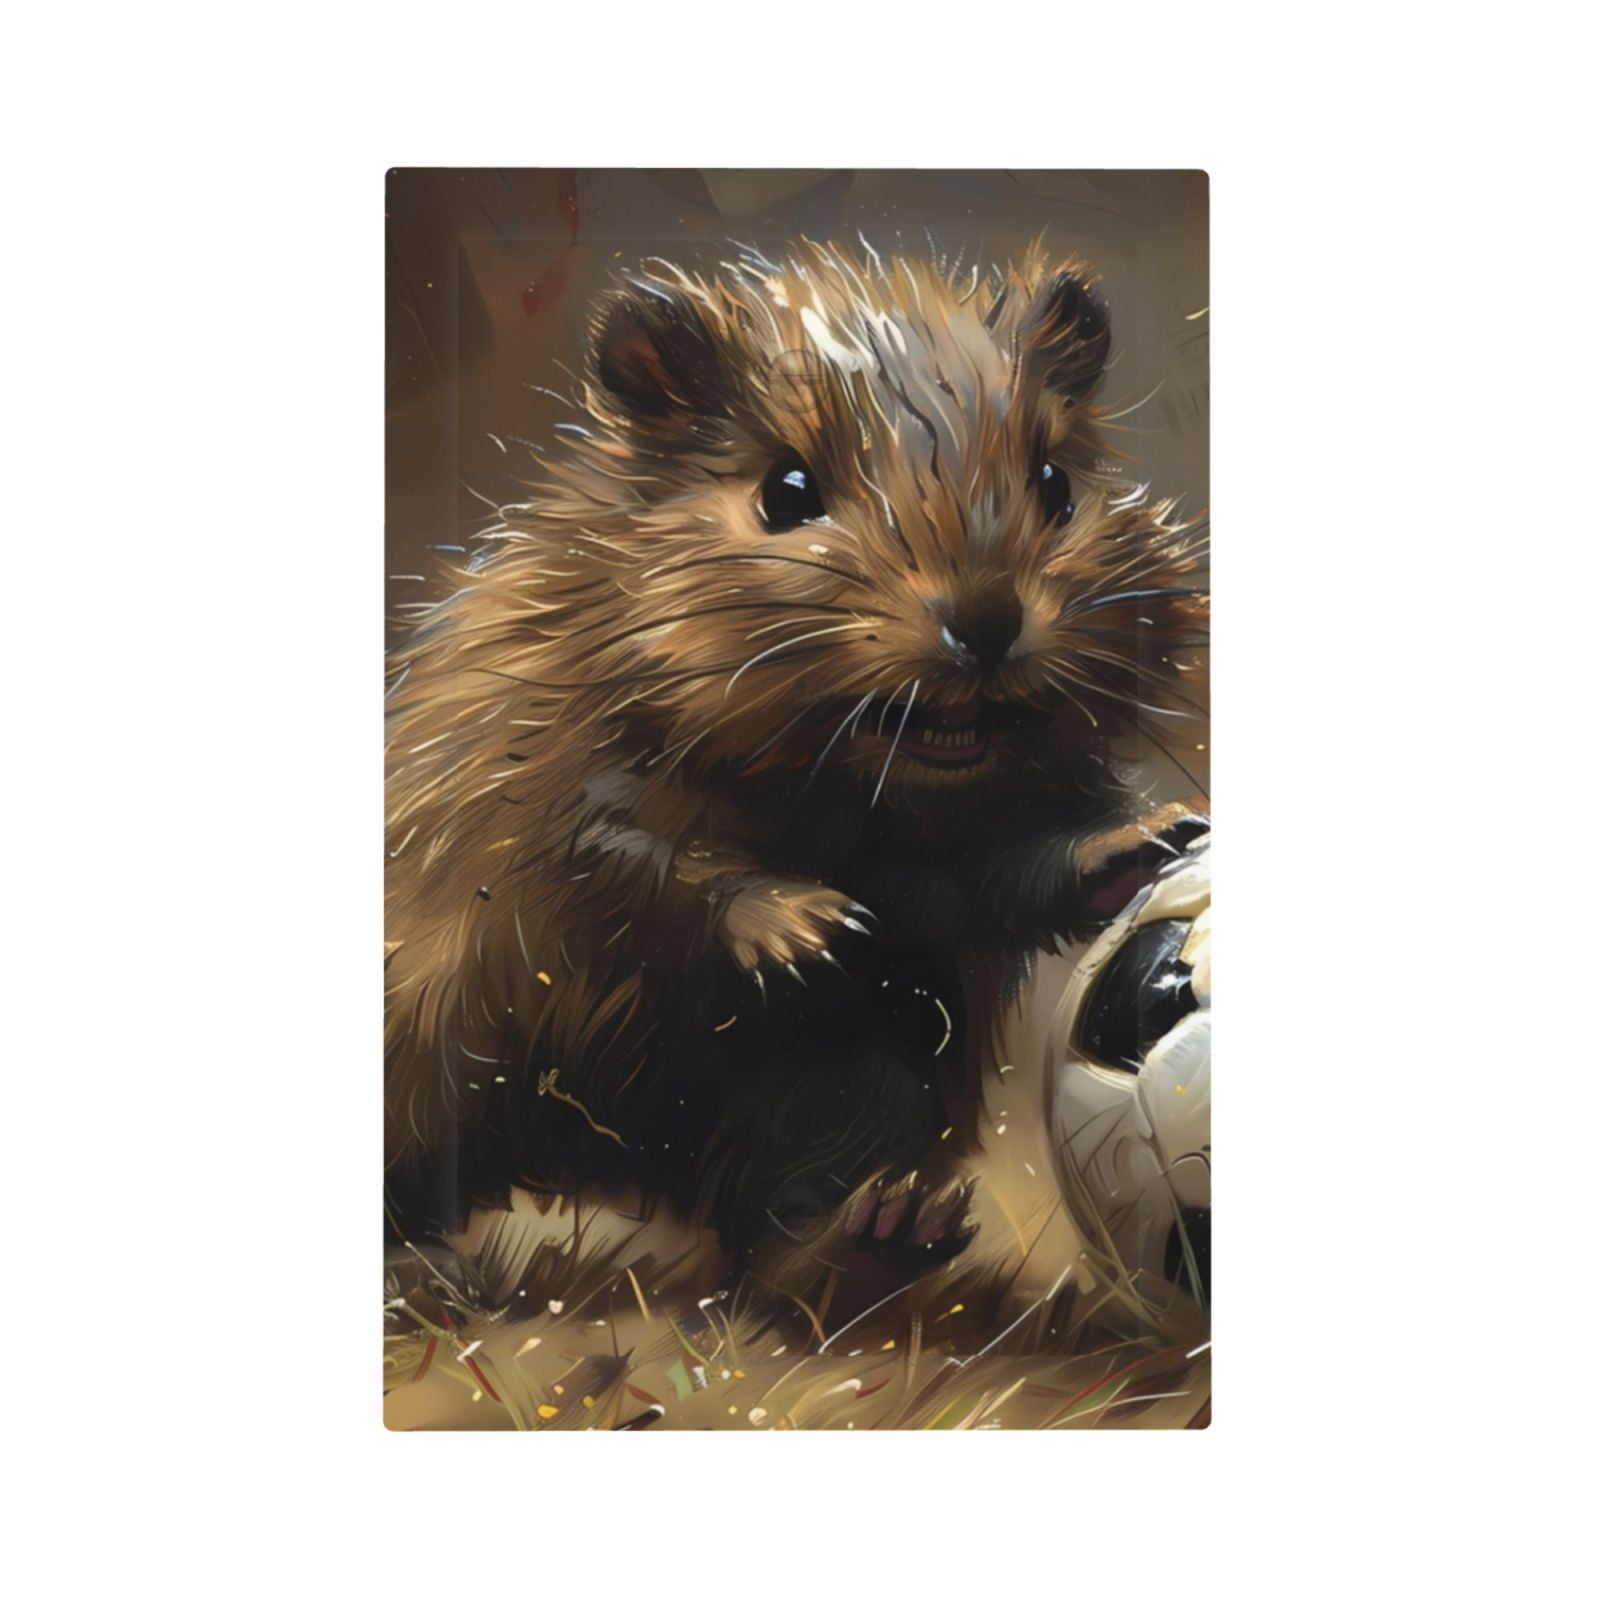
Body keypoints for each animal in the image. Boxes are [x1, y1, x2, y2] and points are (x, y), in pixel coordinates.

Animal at [384, 240, 1208, 1288]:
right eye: (786, 492)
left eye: (1057, 481)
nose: (985, 622)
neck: (851, 786)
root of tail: (606, 1179)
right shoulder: (542, 771)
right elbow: (639, 866)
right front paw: (807, 925)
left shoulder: (977, 838)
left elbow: (1021, 868)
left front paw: (1149, 838)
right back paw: (425, 1266)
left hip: (868, 1084)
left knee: (773, 1236)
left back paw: (885, 1233)